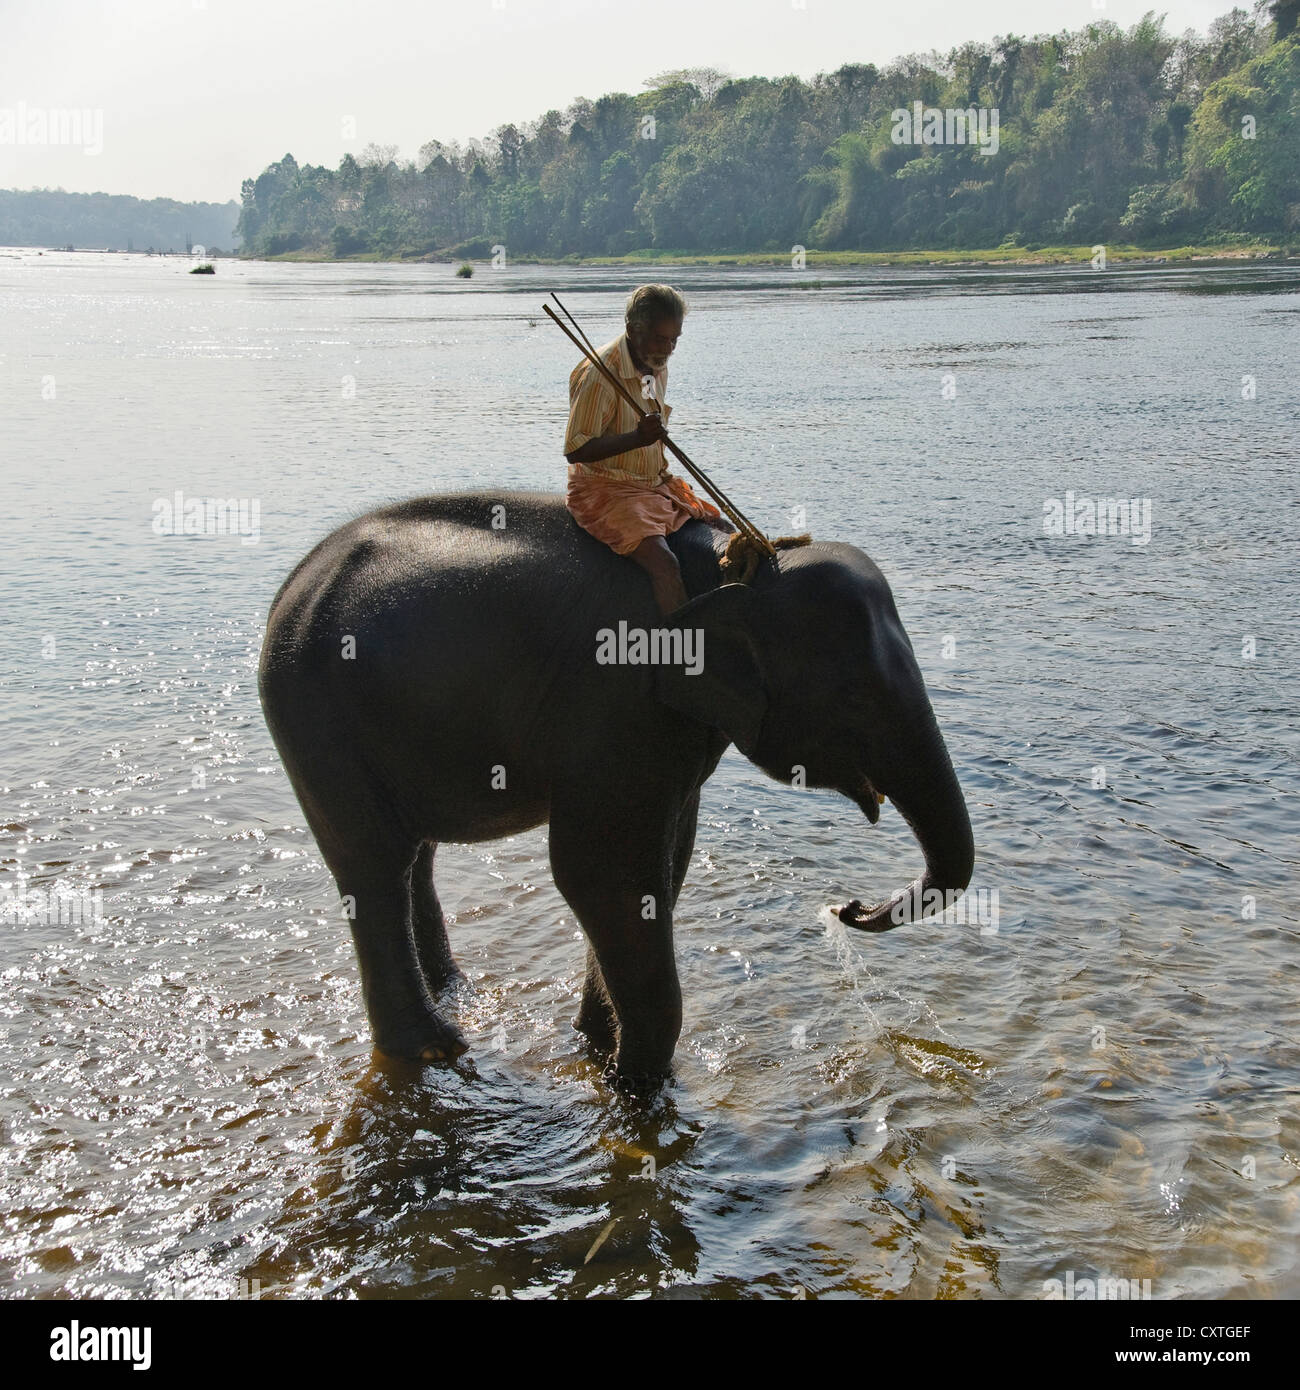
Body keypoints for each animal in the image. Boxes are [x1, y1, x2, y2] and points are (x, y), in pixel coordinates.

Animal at [258, 491, 974, 1087]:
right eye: (854, 697)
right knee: (372, 864)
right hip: (313, 716)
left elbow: (667, 862)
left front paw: (597, 1043)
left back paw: (452, 995)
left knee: (413, 857)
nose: (848, 908)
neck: (730, 567)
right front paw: (636, 1083)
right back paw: (435, 1047)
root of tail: (293, 584)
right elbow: (602, 873)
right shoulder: (618, 705)